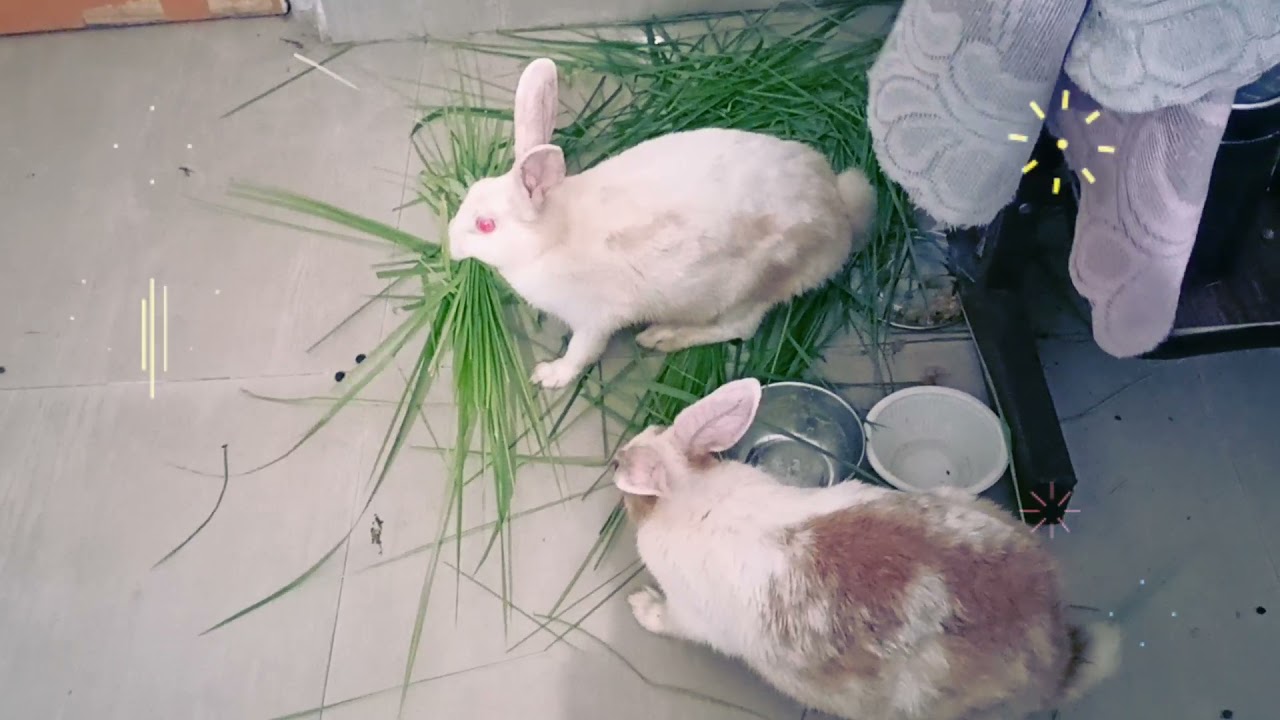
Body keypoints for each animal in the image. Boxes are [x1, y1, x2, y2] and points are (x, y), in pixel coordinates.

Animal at [447, 58, 877, 389]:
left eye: (486, 225)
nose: (450, 245)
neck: (552, 236)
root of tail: (839, 210)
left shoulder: (594, 320)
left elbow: (582, 352)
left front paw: (549, 376)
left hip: (750, 286)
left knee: (738, 328)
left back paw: (662, 336)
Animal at [612, 378, 1121, 720]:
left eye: (624, 472)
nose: (615, 459)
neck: (688, 494)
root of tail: (1054, 655)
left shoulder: (689, 613)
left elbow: (669, 619)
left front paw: (640, 606)